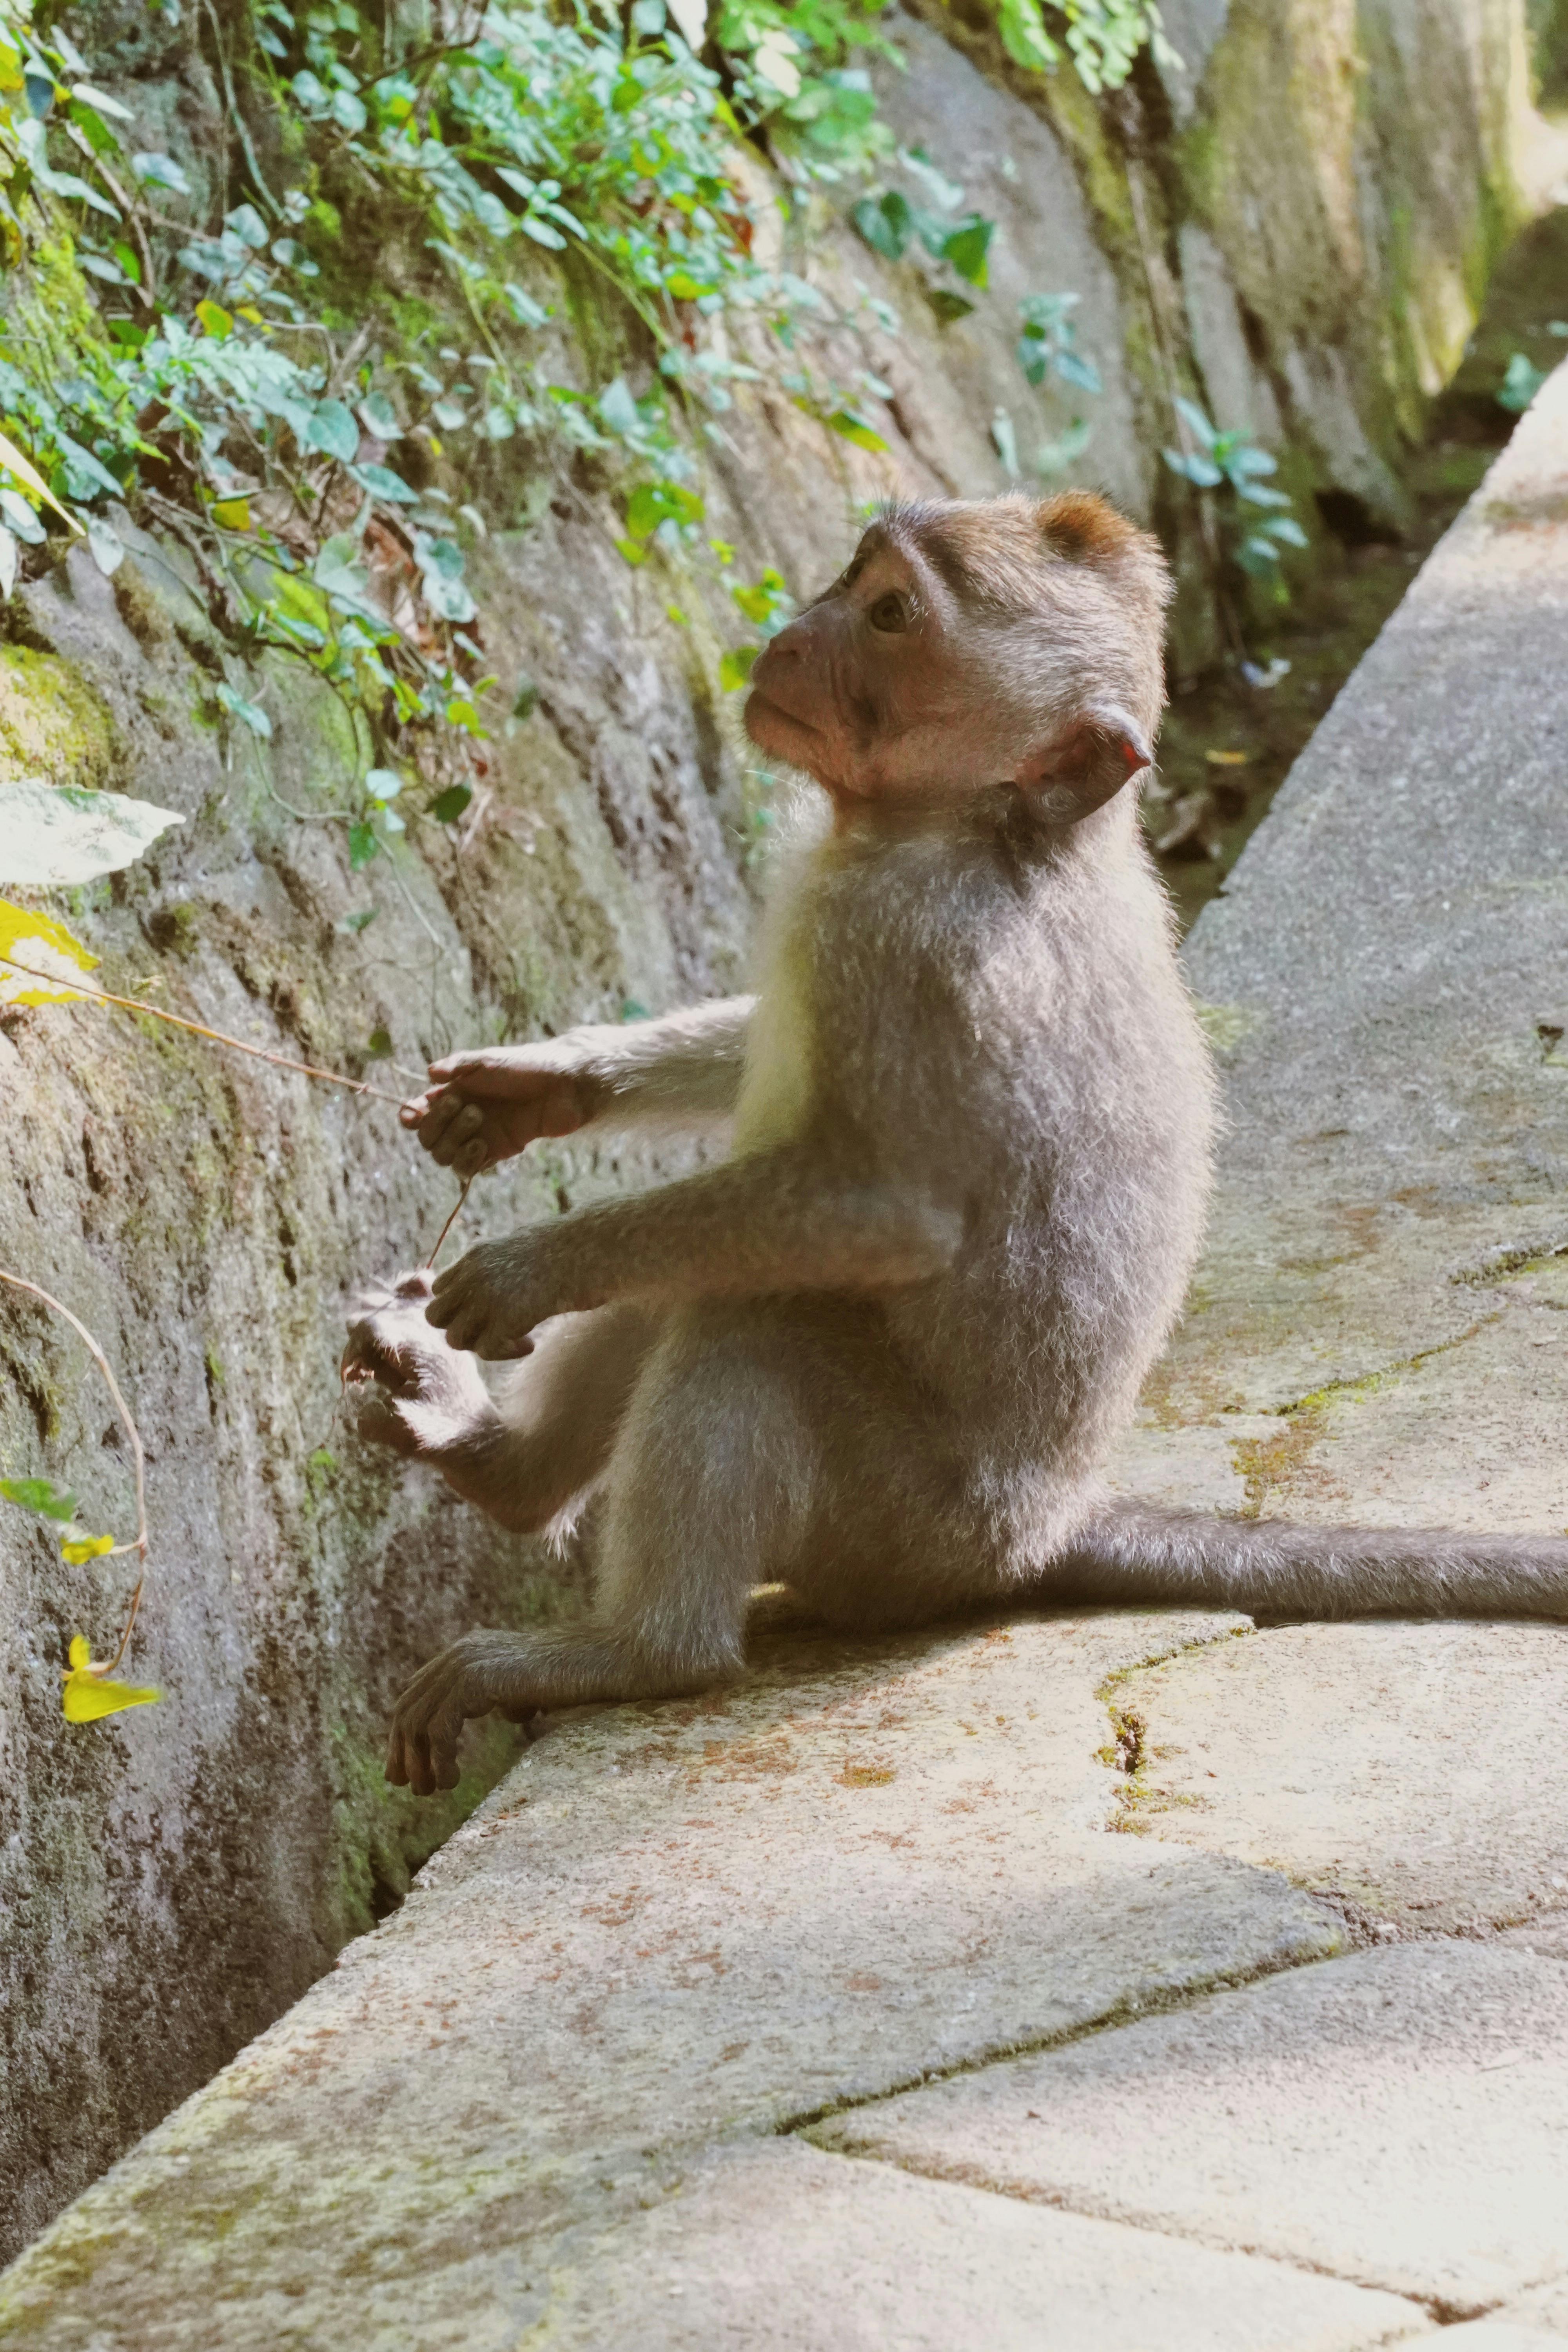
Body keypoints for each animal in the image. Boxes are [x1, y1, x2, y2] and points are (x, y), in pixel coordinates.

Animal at [342, 490, 1568, 1800]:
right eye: (854, 577)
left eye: (889, 616)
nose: (790, 633)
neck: (989, 829)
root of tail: (1043, 1528)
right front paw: (530, 1089)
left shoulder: (904, 946)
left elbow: (890, 1212)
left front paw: (539, 1261)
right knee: (703, 1270)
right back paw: (505, 1472)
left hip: (898, 1525)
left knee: (752, 1313)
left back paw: (640, 1650)